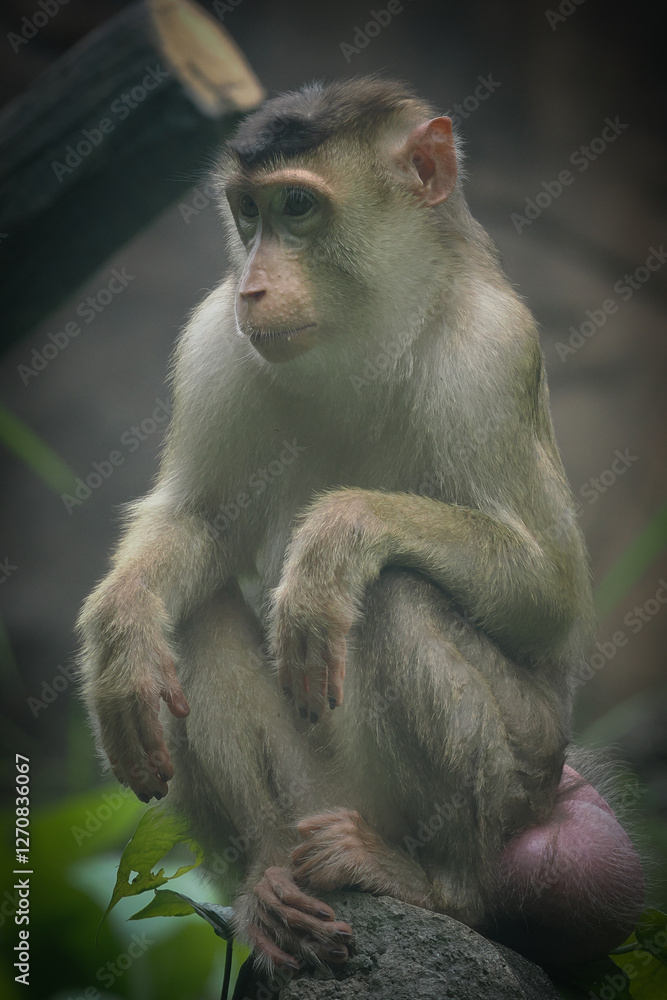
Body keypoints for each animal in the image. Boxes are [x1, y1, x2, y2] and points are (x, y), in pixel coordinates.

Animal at [77, 77, 644, 974]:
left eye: (298, 207)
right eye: (249, 213)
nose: (252, 286)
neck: (370, 339)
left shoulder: (494, 349)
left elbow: (550, 598)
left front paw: (336, 535)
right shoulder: (215, 342)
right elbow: (201, 522)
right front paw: (119, 625)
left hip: (522, 770)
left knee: (395, 594)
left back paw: (445, 887)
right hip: (320, 793)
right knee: (195, 612)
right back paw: (269, 877)